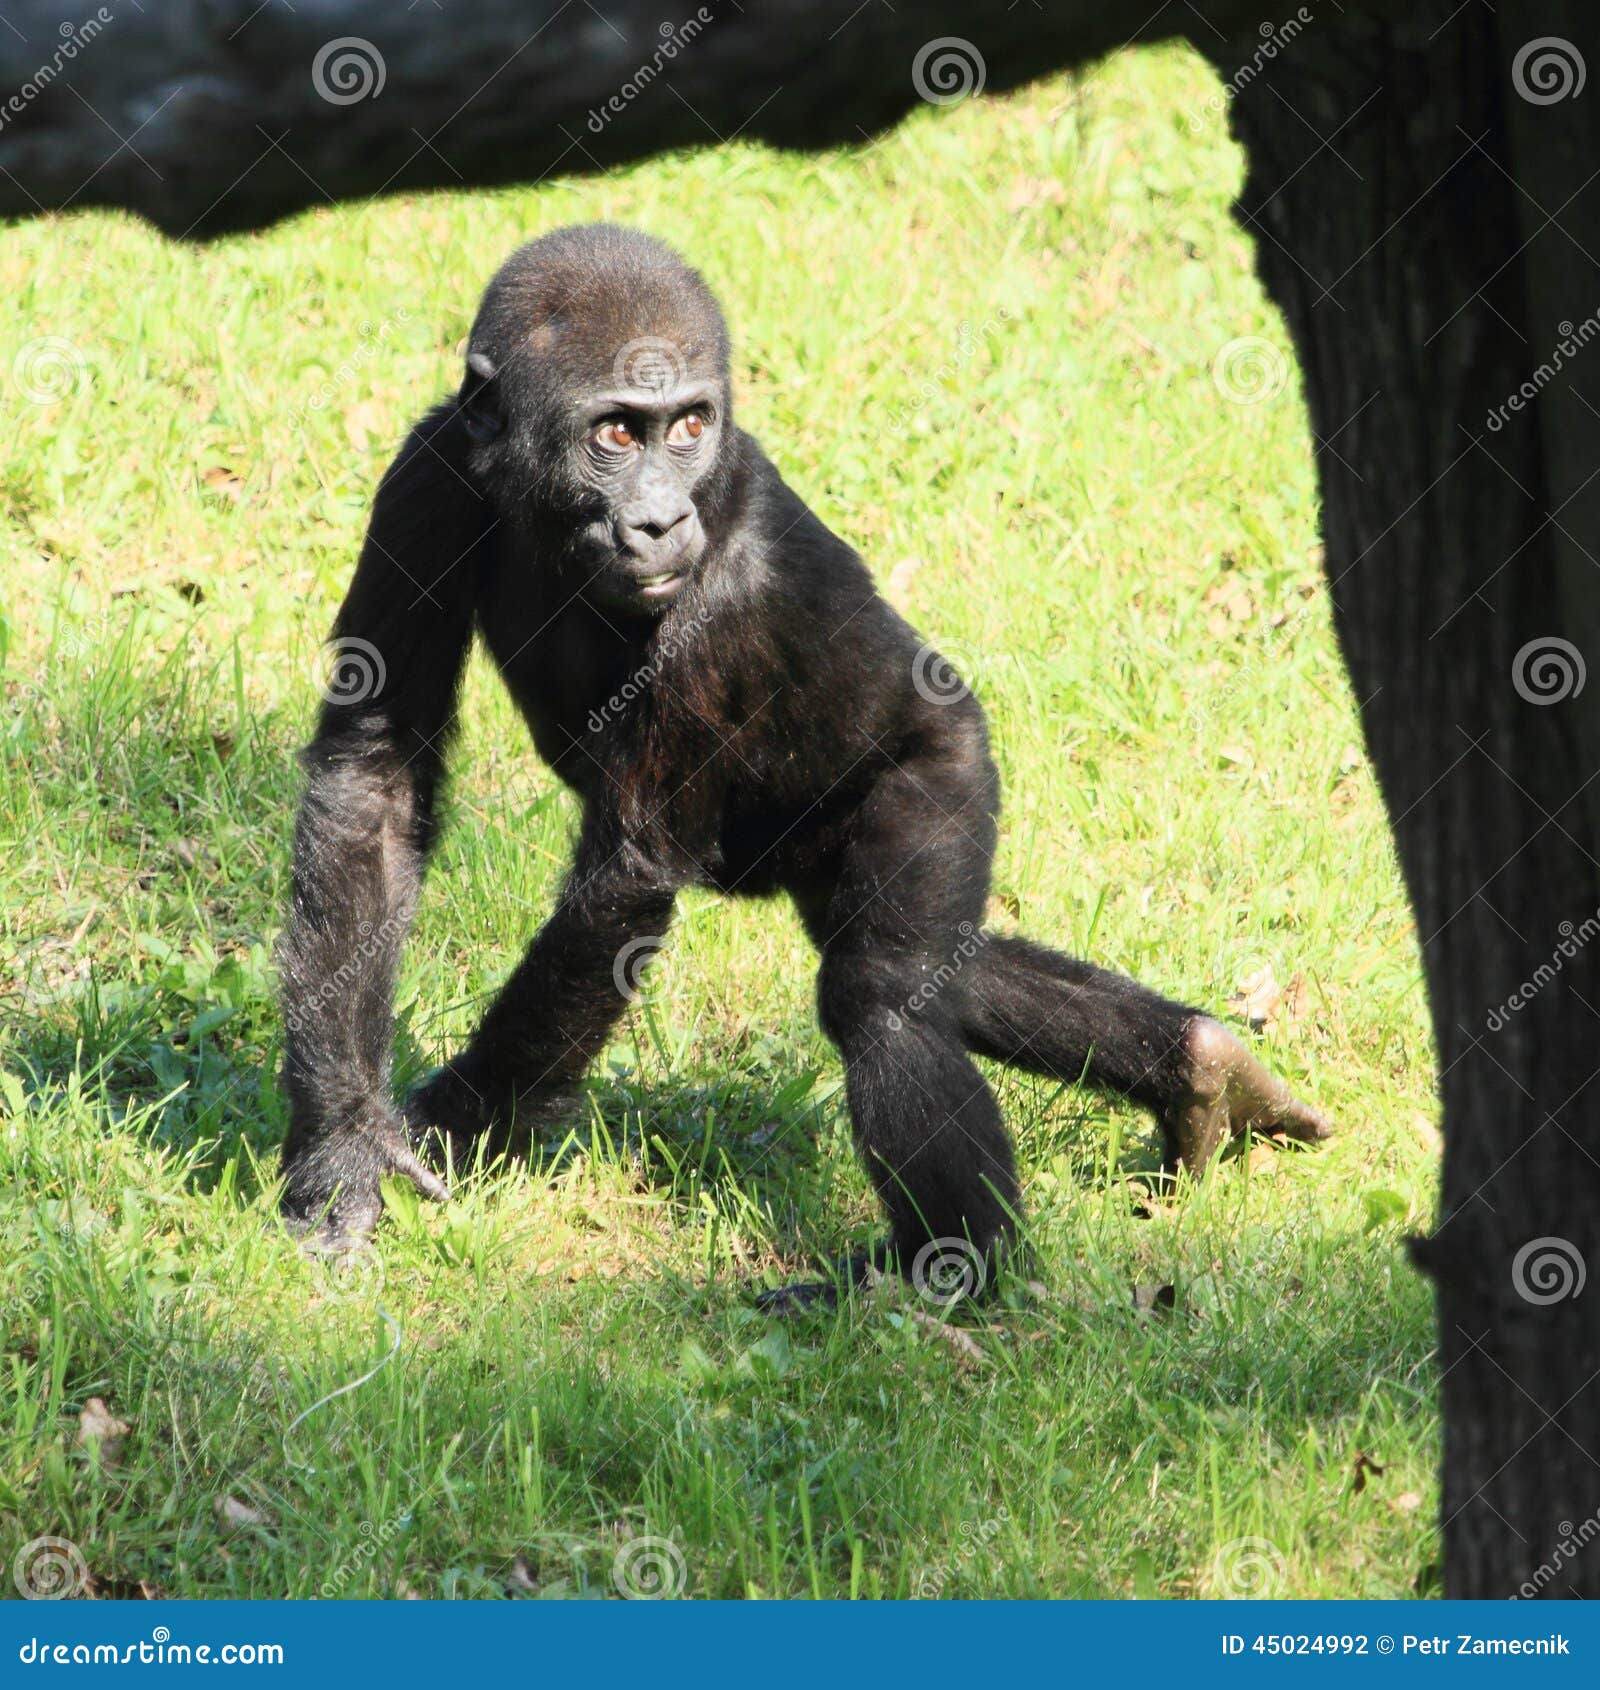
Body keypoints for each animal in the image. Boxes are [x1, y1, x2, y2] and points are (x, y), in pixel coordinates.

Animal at [278, 223, 1330, 1306]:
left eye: (688, 426)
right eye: (616, 434)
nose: (661, 522)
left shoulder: (719, 610)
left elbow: (621, 893)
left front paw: (443, 1127)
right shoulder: (426, 473)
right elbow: (377, 774)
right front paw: (345, 1145)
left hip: (941, 763)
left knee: (884, 987)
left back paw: (948, 1272)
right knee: (943, 970)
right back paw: (1202, 1069)